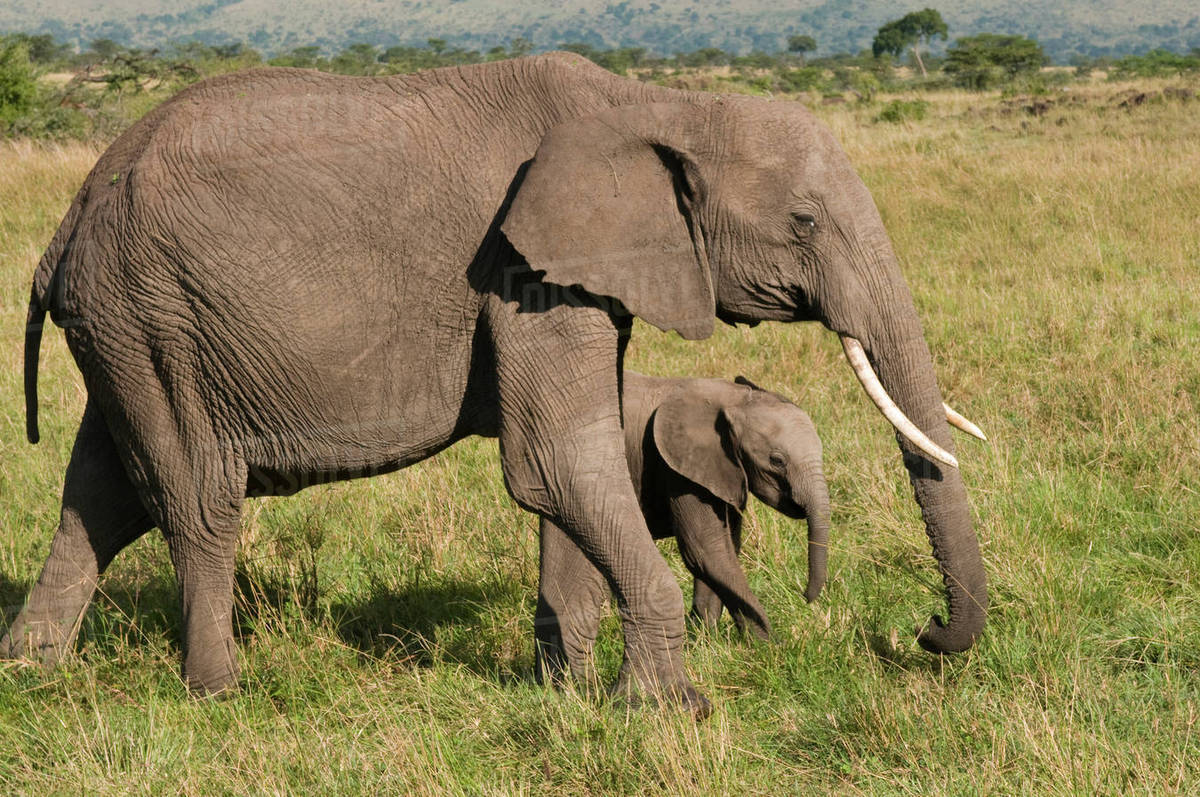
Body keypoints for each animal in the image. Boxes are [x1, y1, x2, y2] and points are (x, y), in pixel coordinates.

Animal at [536, 371, 829, 684]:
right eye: (777, 460)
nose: (805, 597)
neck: (733, 398)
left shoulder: (721, 472)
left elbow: (724, 548)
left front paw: (705, 639)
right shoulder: (676, 467)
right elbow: (704, 550)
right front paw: (771, 645)